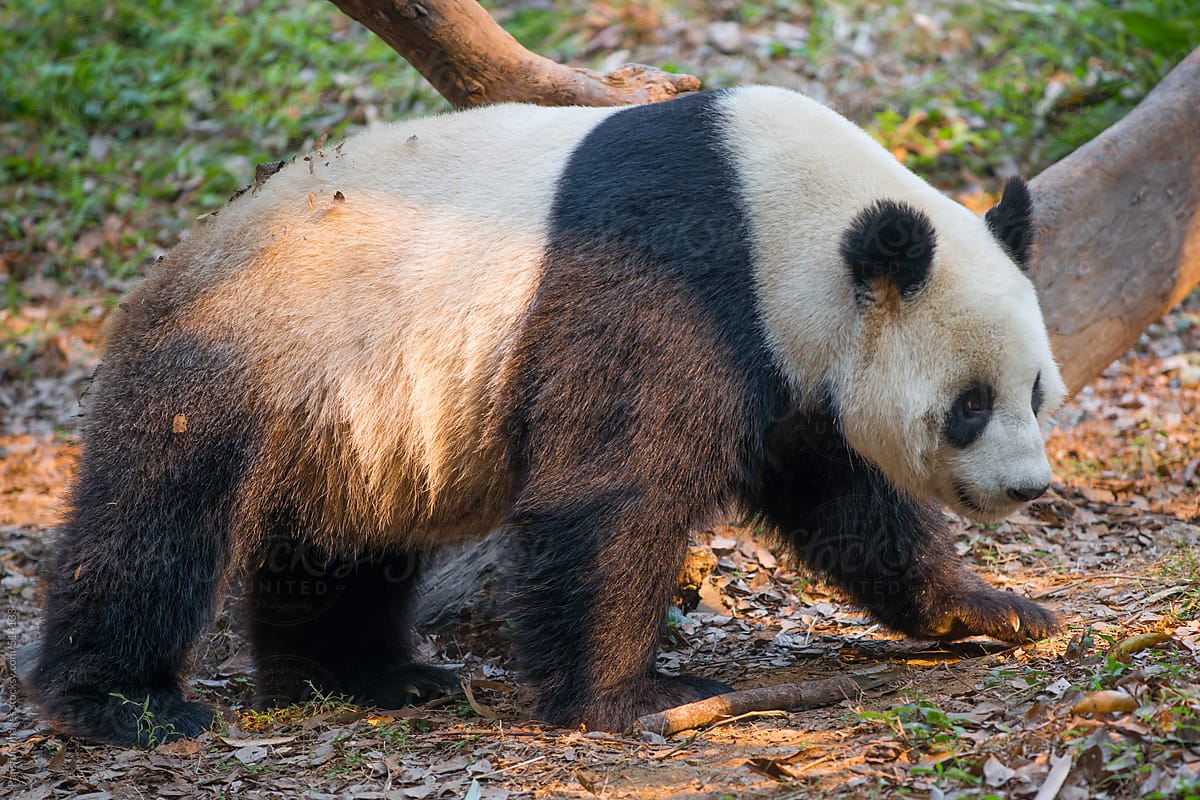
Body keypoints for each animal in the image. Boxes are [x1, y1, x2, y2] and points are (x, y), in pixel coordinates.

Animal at [29, 86, 1067, 746]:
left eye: (1035, 392)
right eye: (970, 405)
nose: (1027, 488)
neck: (781, 215)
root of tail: (167, 264)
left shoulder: (787, 357)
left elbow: (843, 499)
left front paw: (991, 610)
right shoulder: (674, 273)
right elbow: (614, 486)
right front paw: (635, 697)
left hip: (347, 413)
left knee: (341, 539)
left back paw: (363, 675)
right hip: (248, 347)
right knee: (155, 518)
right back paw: (121, 703)